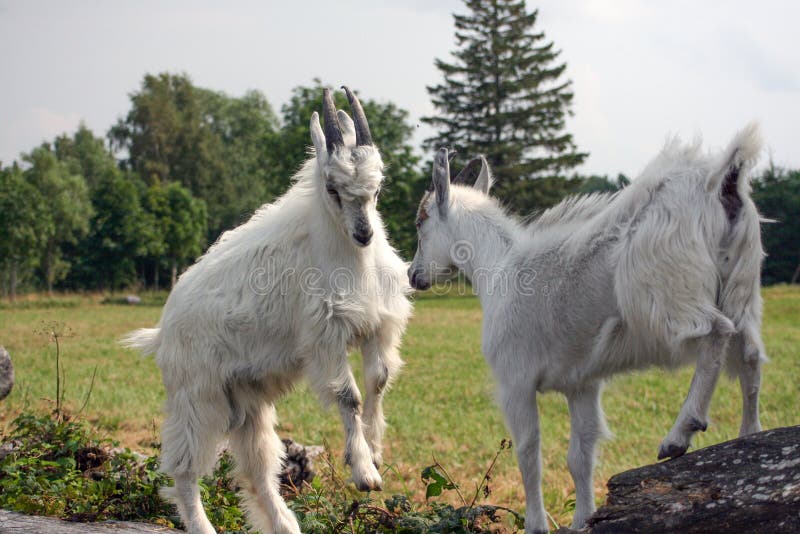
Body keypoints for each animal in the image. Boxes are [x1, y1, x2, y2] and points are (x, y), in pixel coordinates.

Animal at [124, 87, 412, 534]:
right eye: (332, 187)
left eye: (378, 186)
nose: (364, 234)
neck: (349, 257)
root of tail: (162, 331)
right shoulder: (325, 337)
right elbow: (348, 396)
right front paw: (365, 473)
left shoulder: (378, 325)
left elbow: (378, 382)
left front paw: (376, 449)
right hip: (198, 395)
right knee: (184, 469)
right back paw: (204, 525)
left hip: (247, 401)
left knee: (257, 470)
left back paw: (286, 525)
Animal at [408, 125, 766, 533]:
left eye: (421, 222)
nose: (413, 275)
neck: (498, 267)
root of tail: (720, 181)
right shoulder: (581, 382)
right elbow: (580, 455)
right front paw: (583, 519)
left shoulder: (515, 379)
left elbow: (529, 453)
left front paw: (536, 525)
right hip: (743, 285)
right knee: (750, 355)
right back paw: (750, 433)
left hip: (670, 287)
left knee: (715, 331)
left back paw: (679, 435)